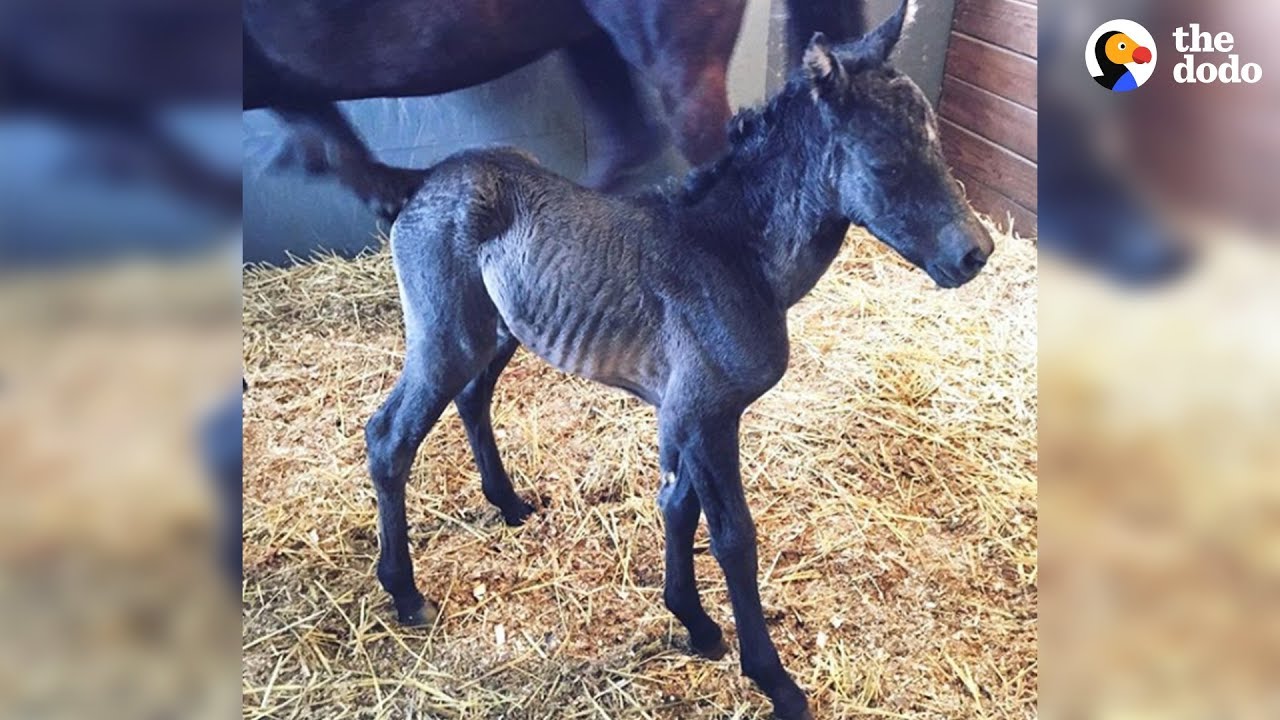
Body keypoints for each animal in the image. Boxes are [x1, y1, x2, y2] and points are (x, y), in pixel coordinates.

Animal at [363, 2, 991, 716]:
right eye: (884, 165)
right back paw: (405, 591)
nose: (975, 253)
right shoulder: (707, 415)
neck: (735, 253)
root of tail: (421, 182)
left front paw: (694, 623)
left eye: (936, 142)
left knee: (473, 397)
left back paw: (508, 504)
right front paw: (774, 679)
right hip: (447, 335)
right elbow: (733, 537)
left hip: (500, 330)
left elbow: (677, 505)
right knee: (390, 436)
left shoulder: (683, 413)